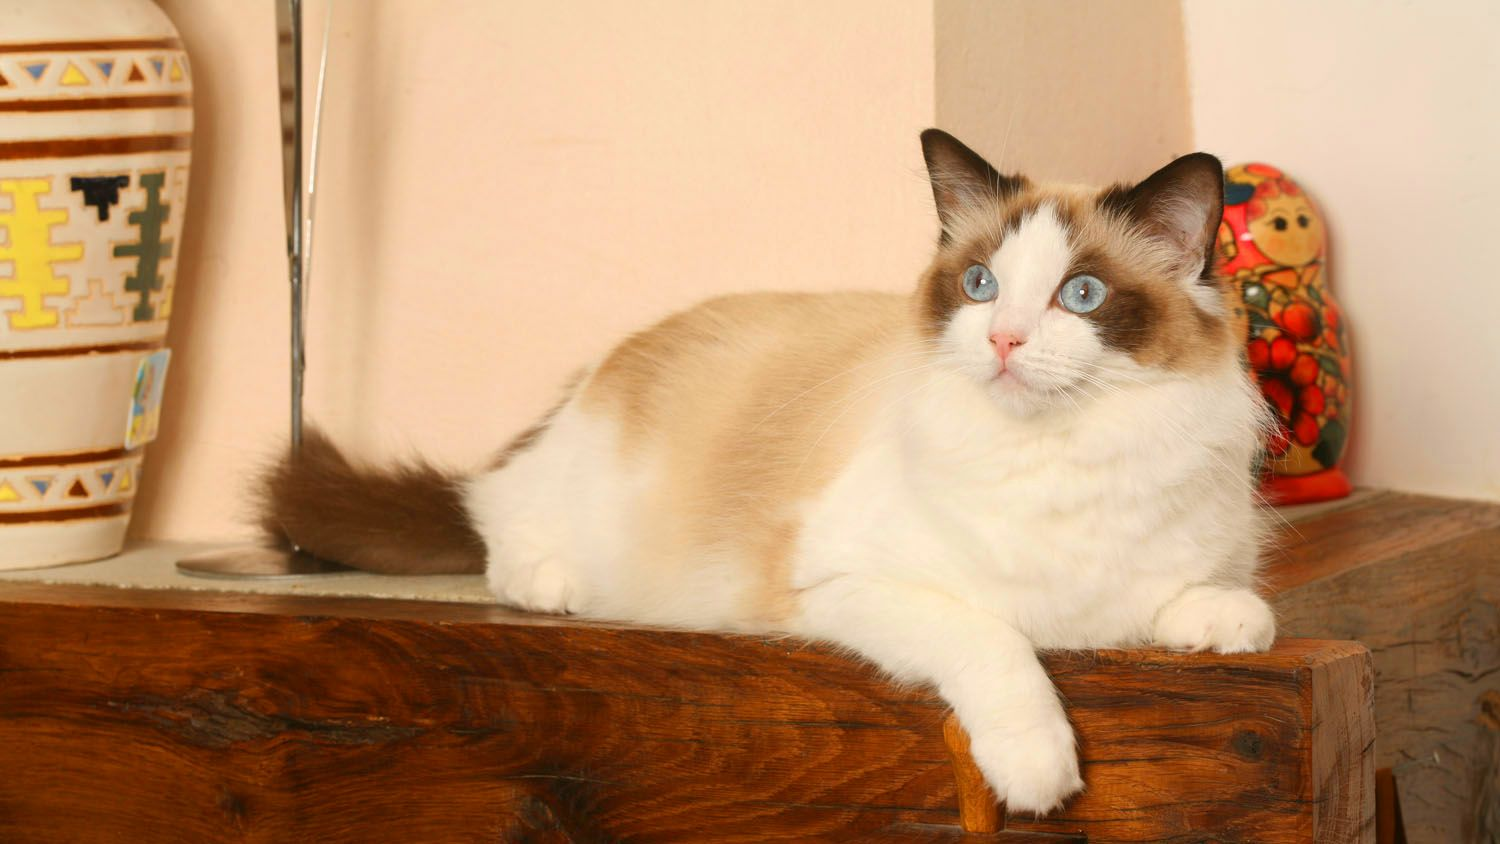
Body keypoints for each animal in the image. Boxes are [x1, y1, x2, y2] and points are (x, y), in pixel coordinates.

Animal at [264, 128, 1272, 815]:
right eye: (980, 285)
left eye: (1083, 295)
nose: (1004, 340)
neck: (1058, 453)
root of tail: (599, 370)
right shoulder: (846, 584)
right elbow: (998, 645)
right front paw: (1038, 771)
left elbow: (1218, 601)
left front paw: (1224, 626)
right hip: (577, 497)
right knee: (493, 520)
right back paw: (552, 585)